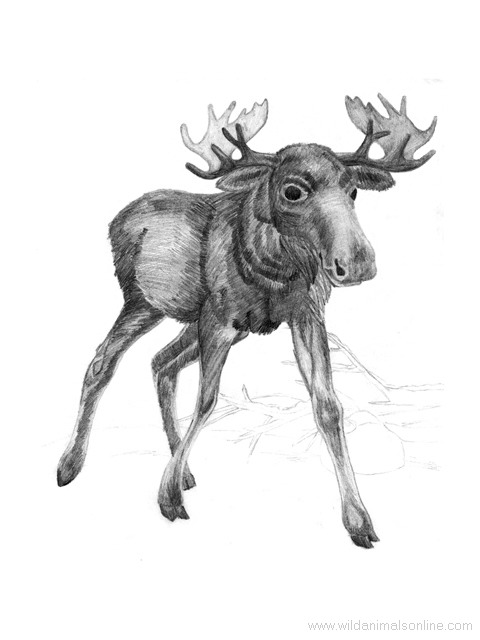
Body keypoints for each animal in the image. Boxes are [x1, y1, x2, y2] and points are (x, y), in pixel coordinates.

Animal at [57, 95, 436, 548]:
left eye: (353, 191)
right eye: (293, 190)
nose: (357, 262)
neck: (273, 270)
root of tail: (114, 222)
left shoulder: (306, 315)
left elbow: (328, 406)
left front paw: (359, 520)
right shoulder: (217, 319)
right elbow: (207, 400)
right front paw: (167, 499)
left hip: (196, 322)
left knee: (161, 362)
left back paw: (181, 470)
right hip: (142, 303)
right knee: (102, 363)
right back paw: (69, 465)